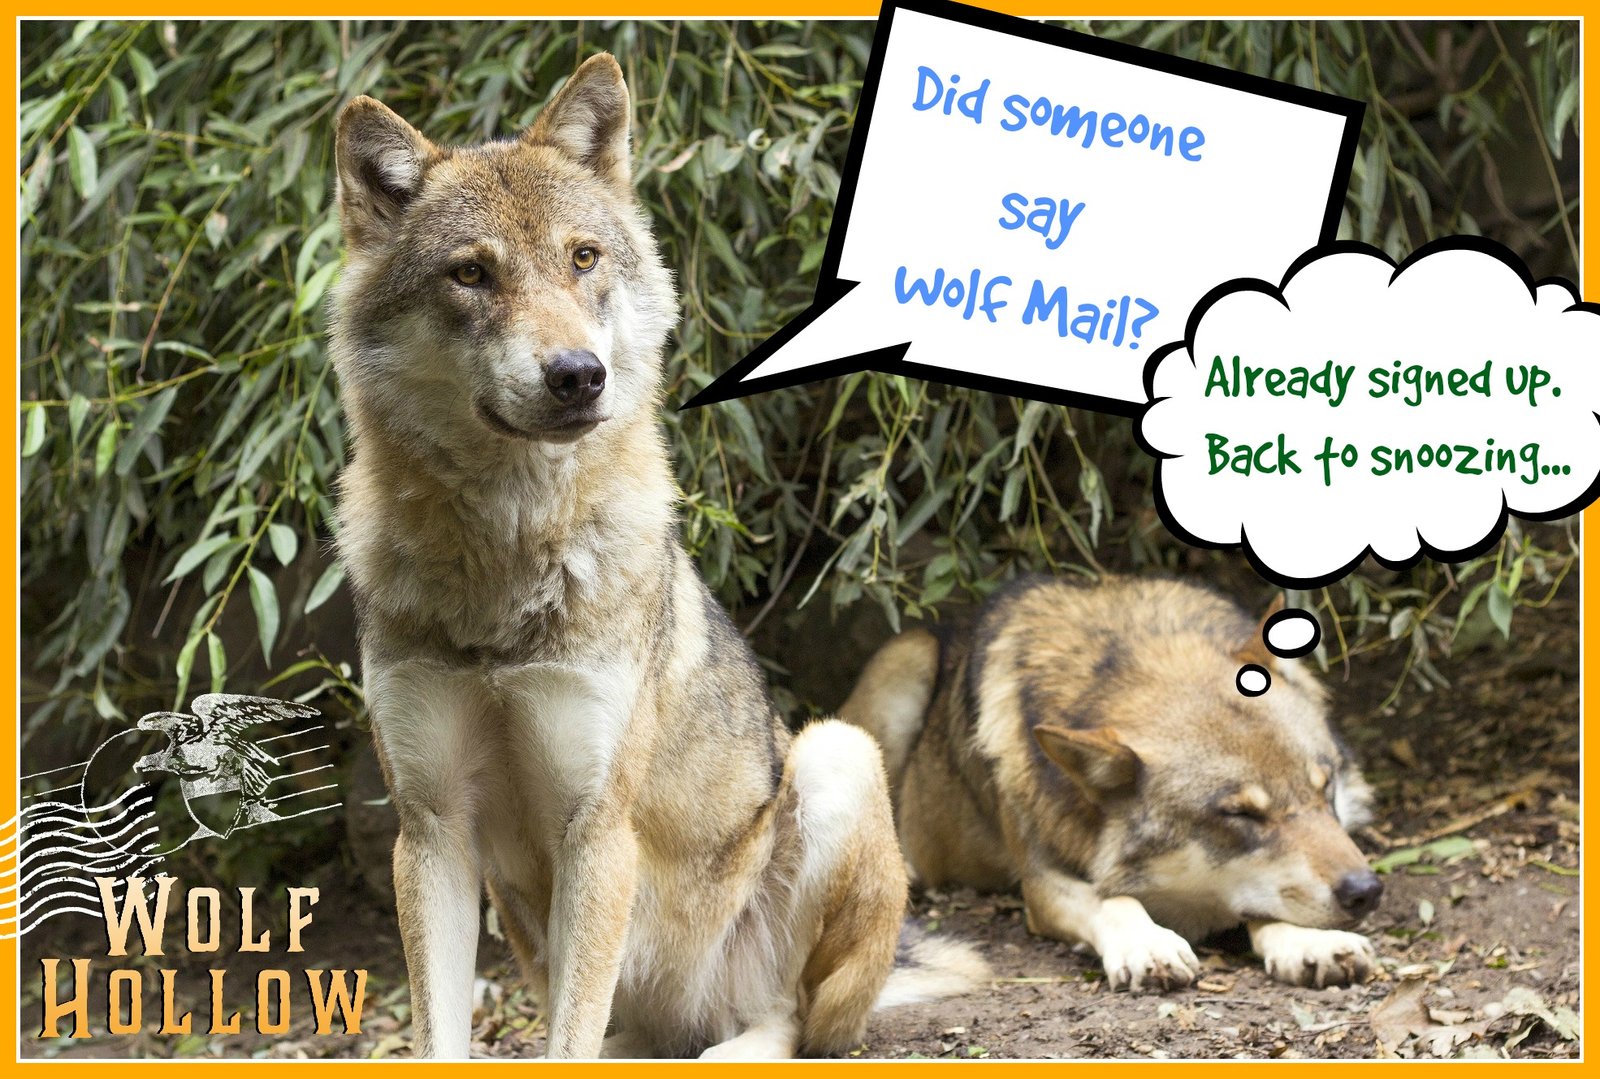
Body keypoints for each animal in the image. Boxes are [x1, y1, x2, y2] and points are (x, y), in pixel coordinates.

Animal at [327, 54, 983, 1059]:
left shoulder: (596, 830)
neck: (508, 564)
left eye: (583, 258)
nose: (576, 374)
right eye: (471, 273)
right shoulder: (430, 832)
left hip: (837, 757)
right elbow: (452, 1034)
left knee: (789, 1022)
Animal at [841, 575, 1382, 992]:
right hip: (903, 665)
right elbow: (1109, 898)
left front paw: (1312, 942)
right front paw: (1147, 943)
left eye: (1324, 787)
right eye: (1241, 814)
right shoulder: (1042, 883)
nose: (1367, 891)